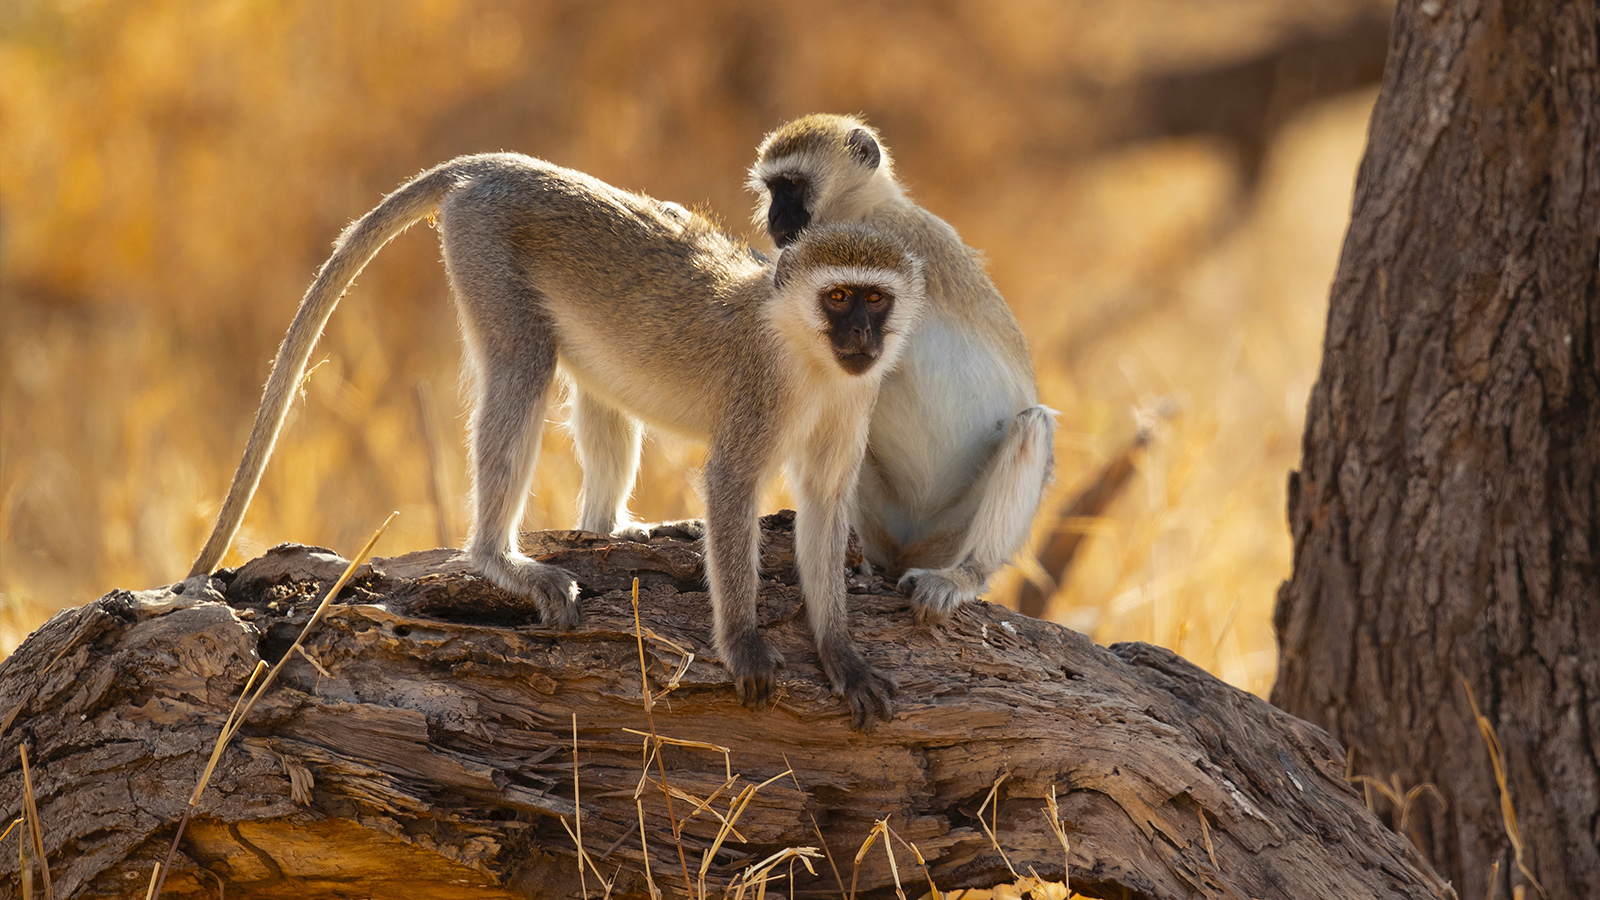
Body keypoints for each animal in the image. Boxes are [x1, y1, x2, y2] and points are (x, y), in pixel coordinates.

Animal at [186, 153, 924, 728]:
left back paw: (610, 528)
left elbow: (824, 503)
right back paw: (498, 559)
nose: (862, 338)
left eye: (875, 300)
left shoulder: (853, 401)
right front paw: (743, 641)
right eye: (838, 299)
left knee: (600, 392)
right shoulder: (759, 391)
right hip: (483, 249)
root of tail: (496, 165)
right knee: (524, 363)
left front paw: (841, 654)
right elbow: (731, 484)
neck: (810, 356)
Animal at [748, 114, 1057, 624]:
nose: (774, 218)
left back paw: (963, 575)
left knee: (1032, 426)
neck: (865, 209)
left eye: (791, 186)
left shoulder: (888, 250)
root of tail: (907, 548)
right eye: (772, 189)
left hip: (952, 531)